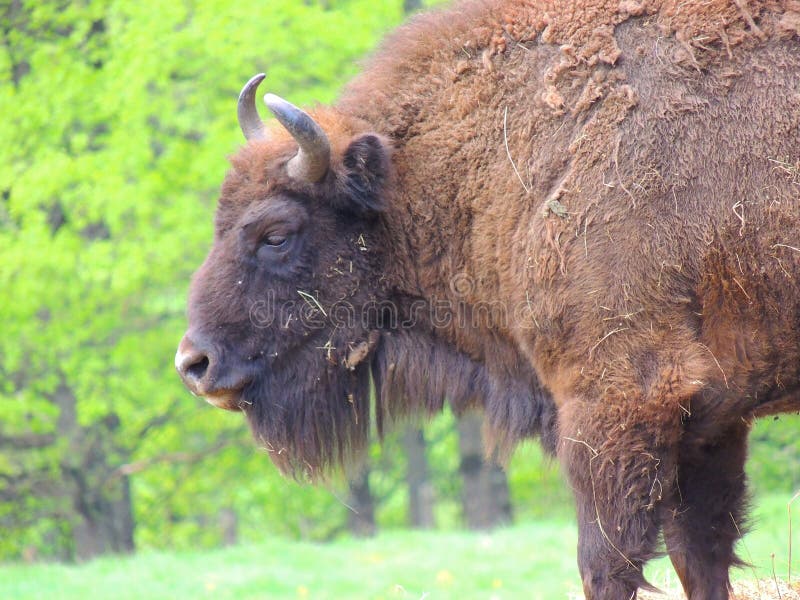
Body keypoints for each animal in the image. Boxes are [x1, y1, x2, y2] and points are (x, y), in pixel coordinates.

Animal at [176, 1, 800, 598]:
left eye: (276, 234)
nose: (194, 363)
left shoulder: (619, 403)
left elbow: (608, 564)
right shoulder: (710, 424)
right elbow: (700, 556)